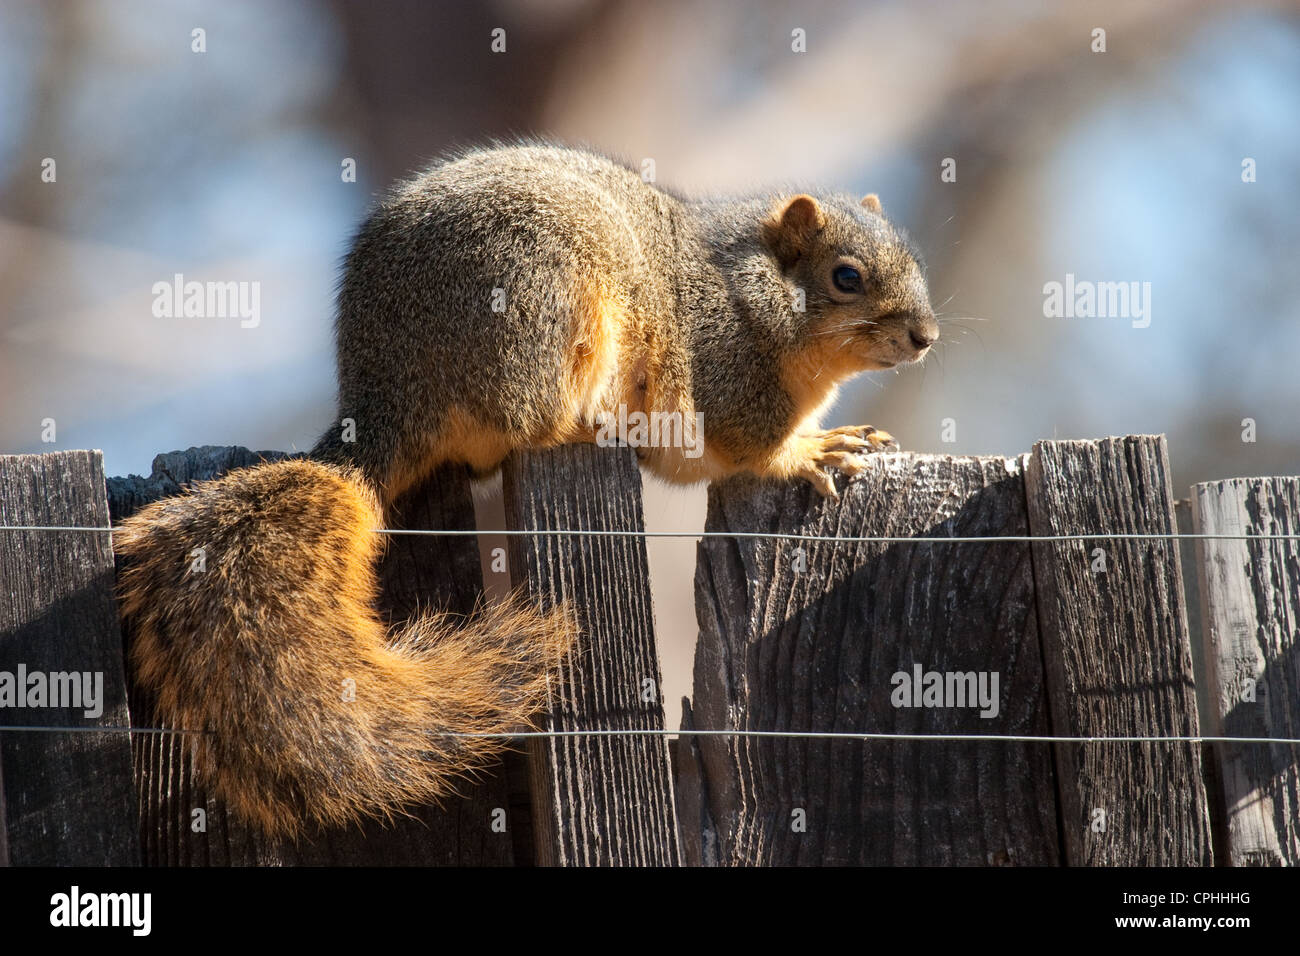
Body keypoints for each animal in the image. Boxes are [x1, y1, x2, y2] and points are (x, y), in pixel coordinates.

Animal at [113, 142, 937, 839]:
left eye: (914, 261)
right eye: (846, 277)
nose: (926, 336)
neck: (753, 297)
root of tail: (385, 406)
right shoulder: (725, 379)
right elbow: (749, 448)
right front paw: (814, 448)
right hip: (542, 307)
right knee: (527, 419)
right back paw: (580, 427)